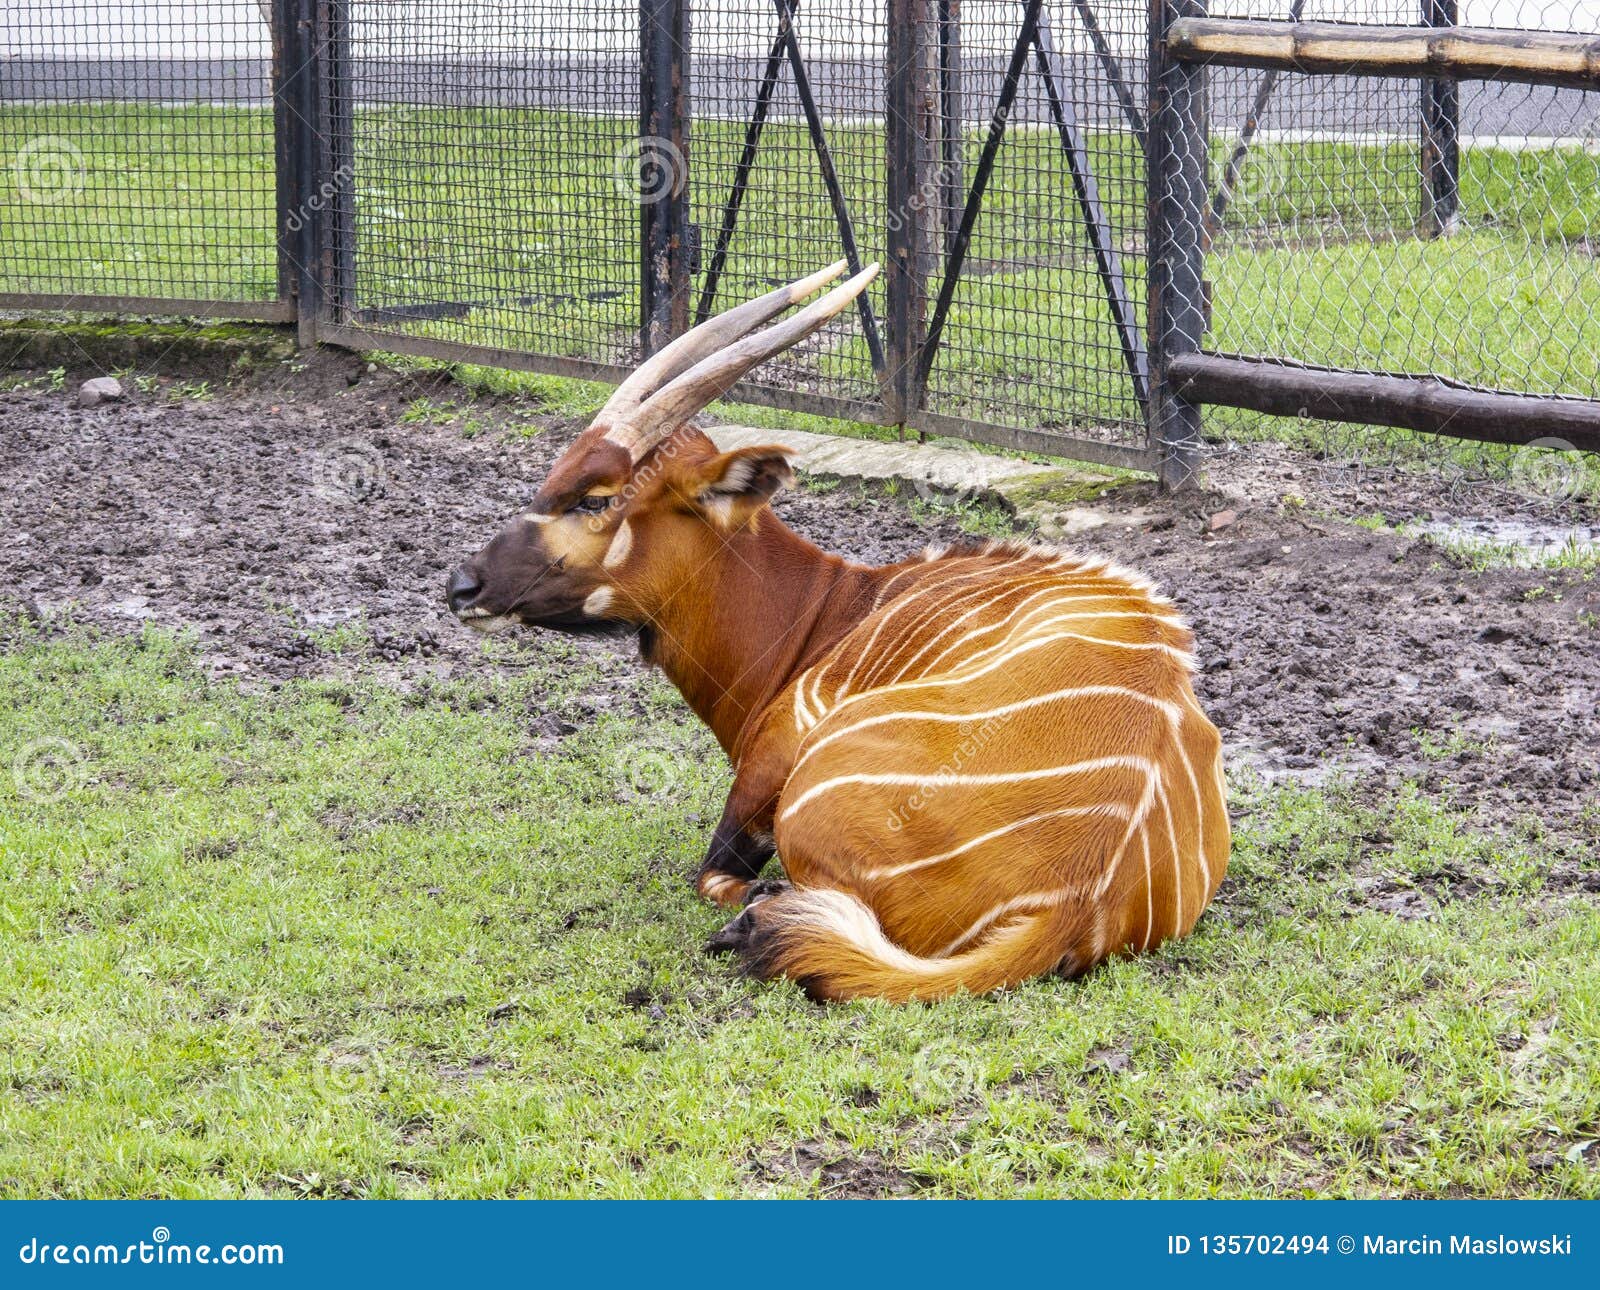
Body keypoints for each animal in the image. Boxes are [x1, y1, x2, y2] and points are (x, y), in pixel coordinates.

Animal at [445, 262, 1228, 1001]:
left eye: (595, 498)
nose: (463, 586)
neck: (828, 609)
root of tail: (1071, 899)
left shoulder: (757, 793)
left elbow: (712, 874)